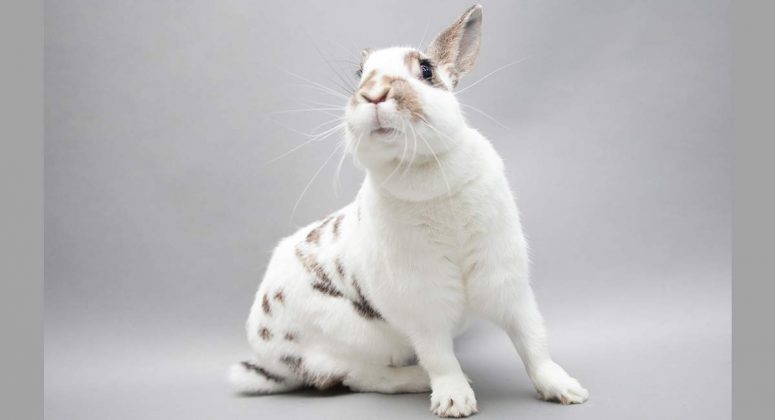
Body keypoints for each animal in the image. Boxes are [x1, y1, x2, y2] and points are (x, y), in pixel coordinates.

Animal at [229, 4, 588, 417]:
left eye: (427, 70)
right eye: (359, 76)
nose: (373, 94)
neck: (421, 169)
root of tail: (268, 357)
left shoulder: (507, 283)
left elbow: (533, 341)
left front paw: (567, 390)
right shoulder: (422, 304)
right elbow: (439, 357)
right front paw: (454, 402)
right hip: (353, 338)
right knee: (359, 376)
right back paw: (417, 379)